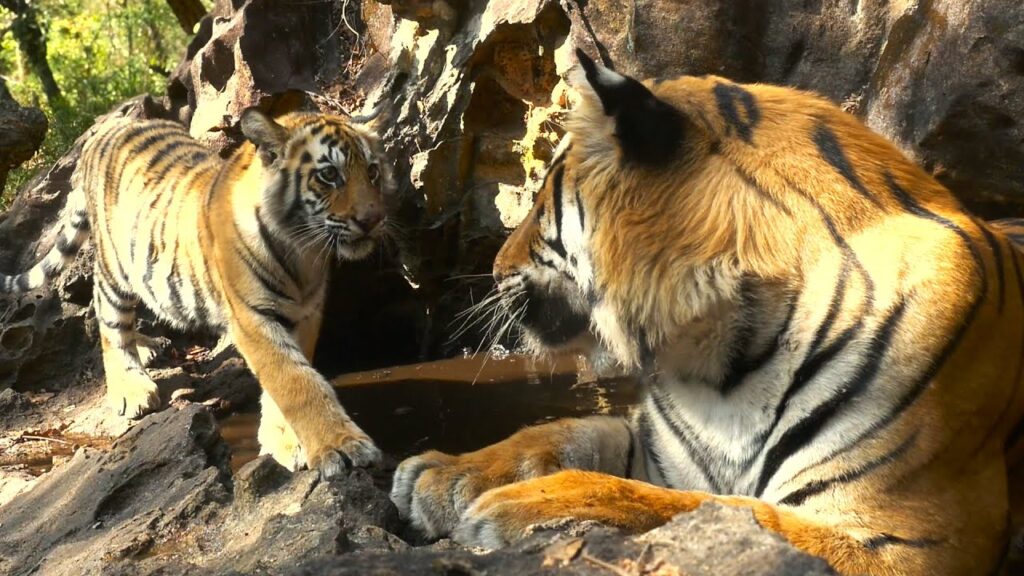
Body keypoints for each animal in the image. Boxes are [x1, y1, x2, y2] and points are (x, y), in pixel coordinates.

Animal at [0, 108, 392, 477]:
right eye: (329, 175)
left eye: (372, 172)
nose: (373, 219)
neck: (304, 250)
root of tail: (106, 129)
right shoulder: (252, 317)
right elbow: (296, 383)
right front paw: (339, 447)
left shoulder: (305, 314)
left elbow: (289, 381)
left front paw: (283, 442)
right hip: (115, 265)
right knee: (109, 320)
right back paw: (130, 387)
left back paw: (148, 347)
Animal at [390, 50, 1024, 575]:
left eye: (542, 196)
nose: (494, 268)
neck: (723, 361)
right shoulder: (658, 448)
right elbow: (569, 430)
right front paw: (440, 475)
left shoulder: (902, 538)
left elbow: (705, 507)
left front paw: (512, 503)